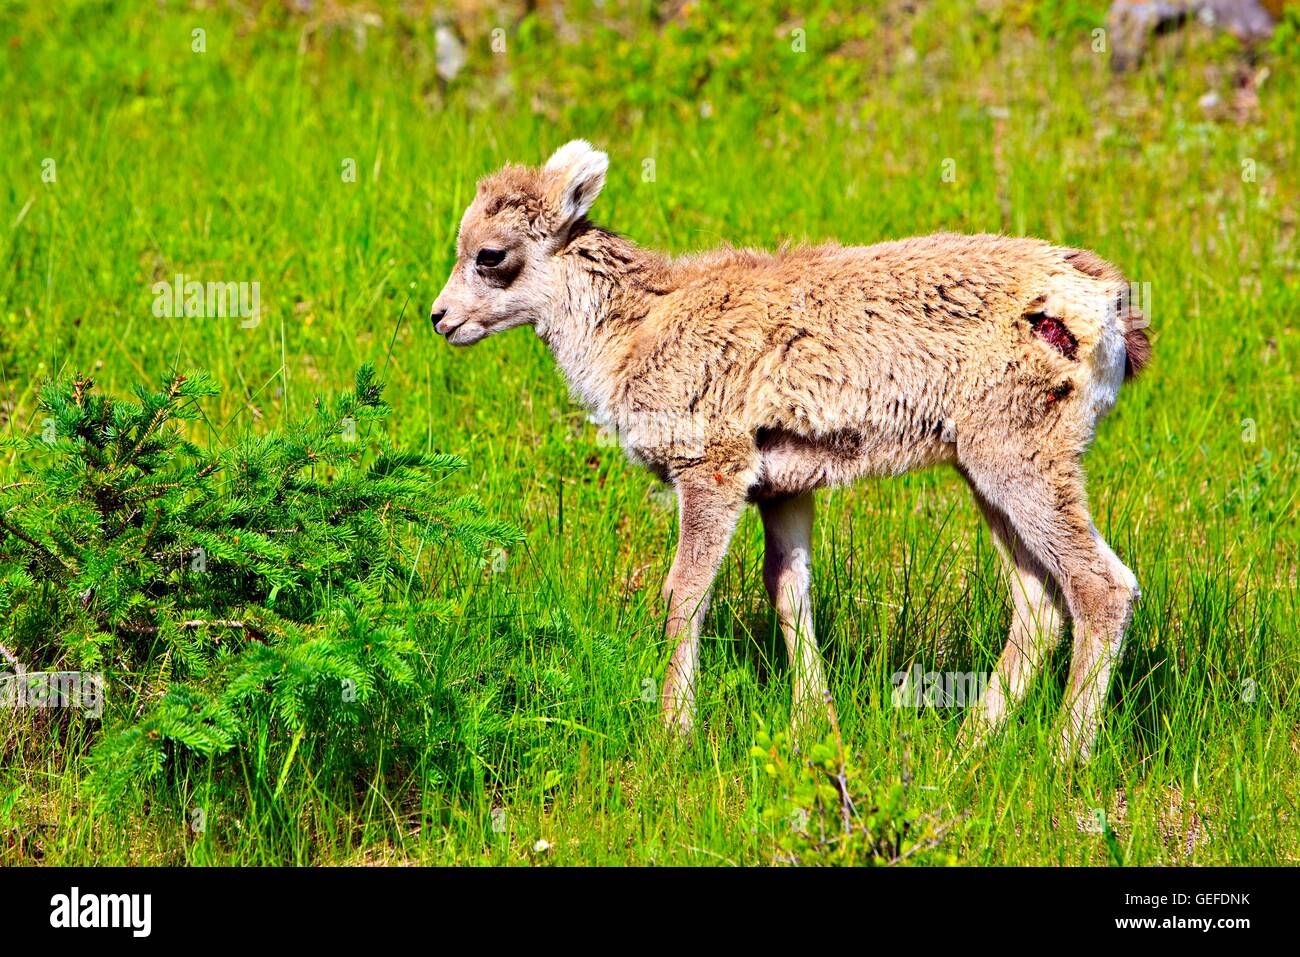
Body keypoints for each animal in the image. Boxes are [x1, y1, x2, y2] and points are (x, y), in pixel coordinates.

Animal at [430, 140, 1151, 762]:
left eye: (489, 254)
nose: (439, 318)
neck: (633, 331)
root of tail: (1109, 308)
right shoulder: (783, 491)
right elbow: (788, 593)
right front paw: (815, 725)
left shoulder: (712, 473)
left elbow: (684, 593)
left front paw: (675, 732)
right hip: (986, 476)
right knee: (1038, 603)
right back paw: (967, 745)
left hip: (1022, 465)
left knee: (1103, 587)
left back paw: (1064, 756)